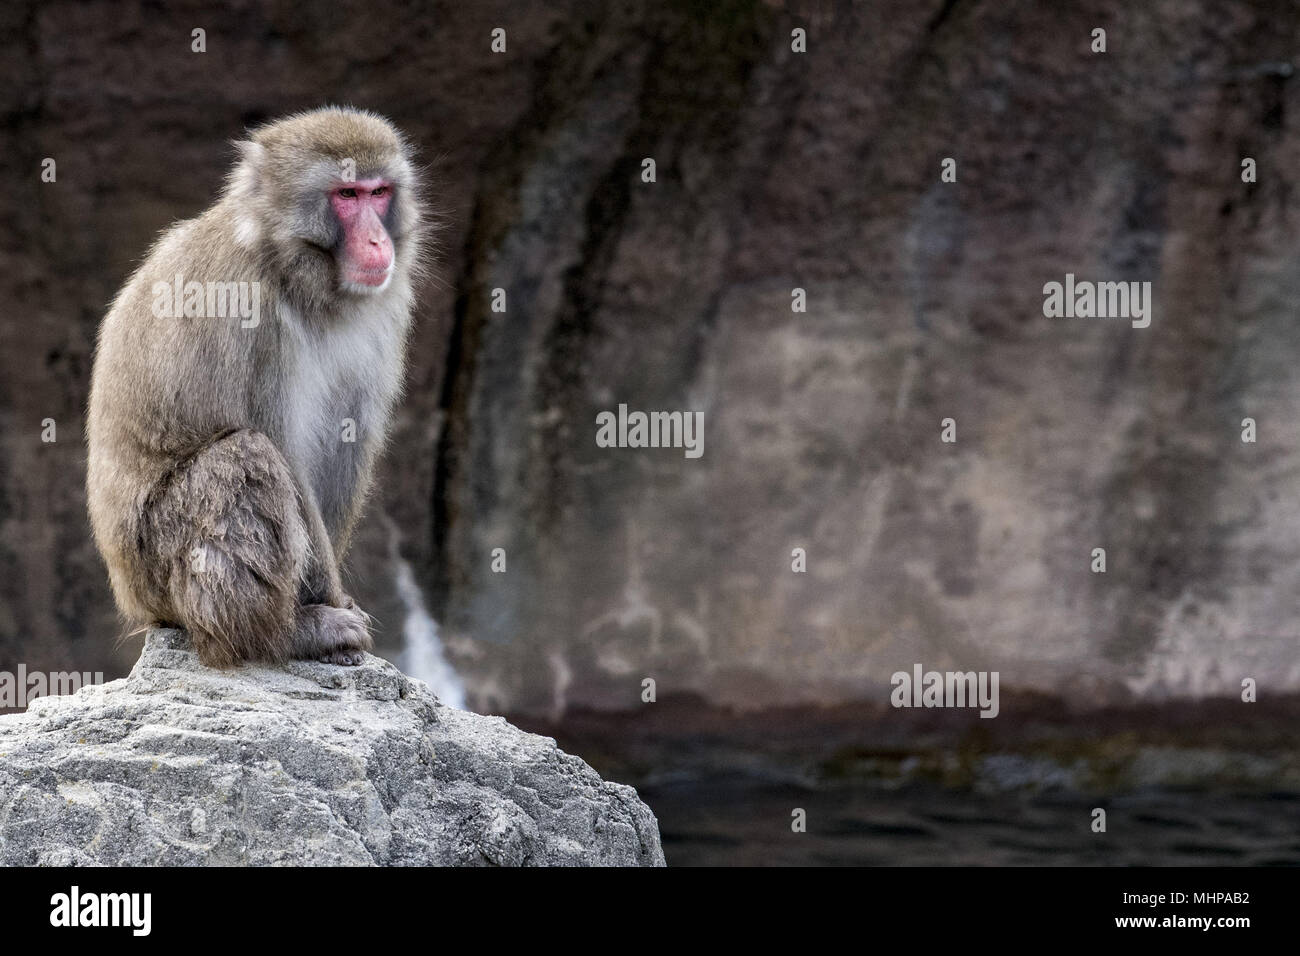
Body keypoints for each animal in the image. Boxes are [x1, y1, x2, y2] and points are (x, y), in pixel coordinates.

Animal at [86, 107, 426, 667]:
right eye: (346, 195)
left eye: (378, 192)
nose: (379, 242)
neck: (288, 266)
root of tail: (130, 594)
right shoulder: (250, 312)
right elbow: (282, 452)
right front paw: (325, 616)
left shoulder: (387, 310)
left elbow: (346, 447)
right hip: (155, 566)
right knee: (245, 456)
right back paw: (275, 636)